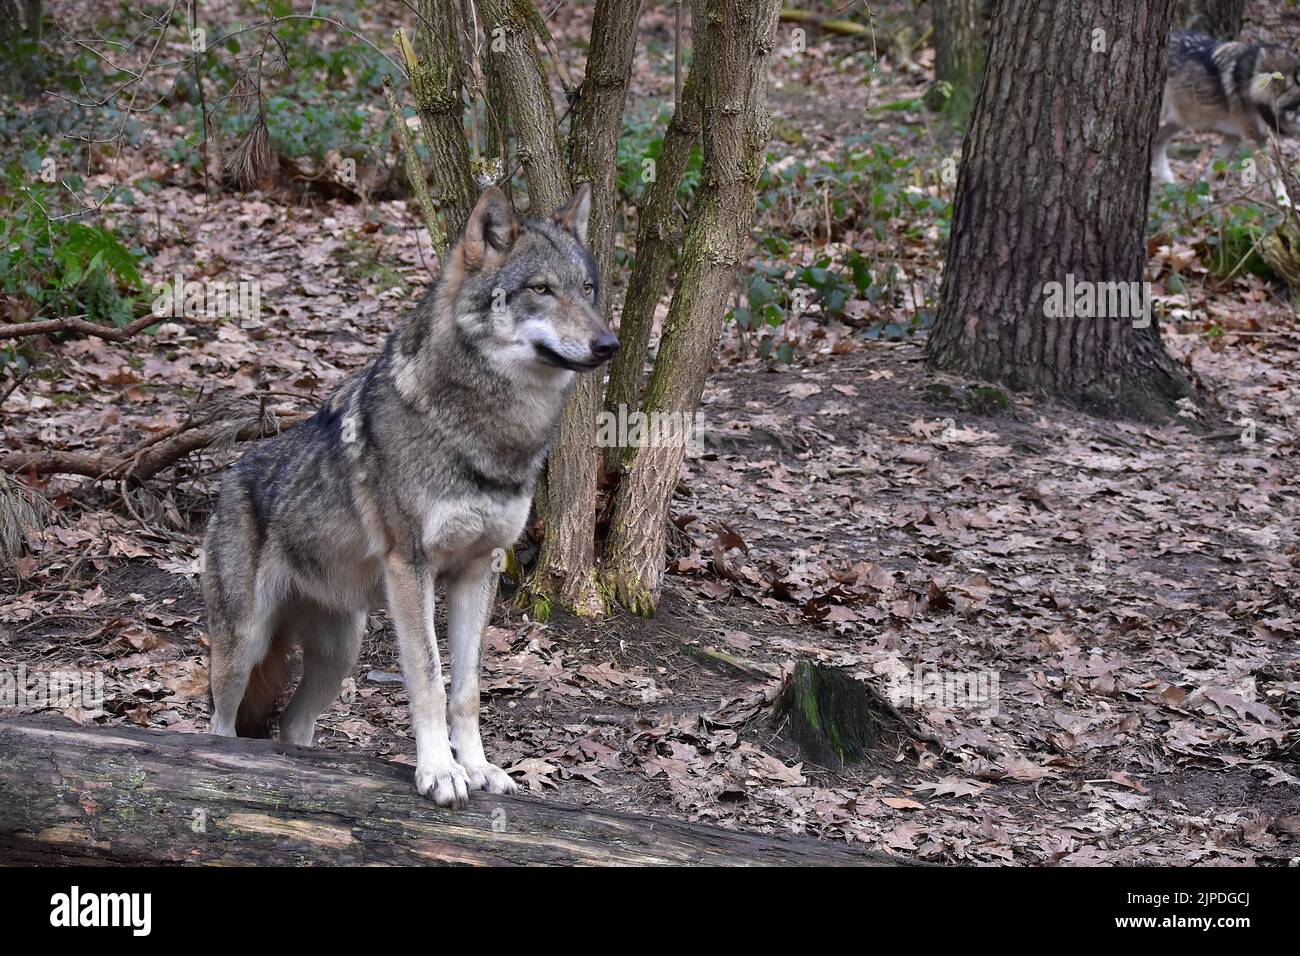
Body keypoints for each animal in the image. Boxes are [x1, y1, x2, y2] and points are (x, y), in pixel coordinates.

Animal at [203, 185, 617, 807]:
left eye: (587, 288)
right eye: (541, 289)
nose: (608, 343)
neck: (489, 432)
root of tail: (229, 478)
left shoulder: (479, 569)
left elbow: (466, 690)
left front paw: (479, 767)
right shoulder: (410, 568)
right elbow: (427, 679)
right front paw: (440, 772)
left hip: (339, 654)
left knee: (292, 724)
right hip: (244, 647)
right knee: (218, 724)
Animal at [1155, 31, 1300, 205]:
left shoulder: (1234, 137)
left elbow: (1214, 167)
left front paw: (1199, 195)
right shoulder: (1252, 137)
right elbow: (1272, 172)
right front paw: (1285, 202)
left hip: (1180, 121)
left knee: (1158, 142)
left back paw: (1169, 183)